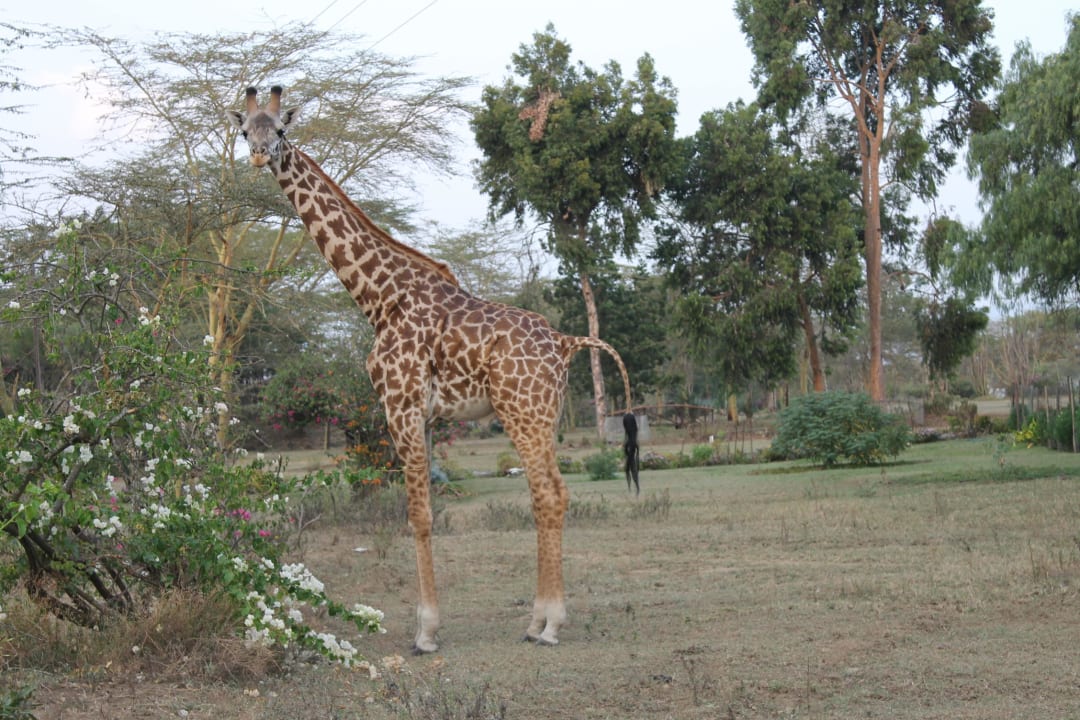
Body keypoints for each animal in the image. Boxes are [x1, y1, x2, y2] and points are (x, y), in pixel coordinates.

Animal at [228, 86, 640, 653]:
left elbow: (418, 515)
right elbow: (422, 511)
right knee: (545, 497)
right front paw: (430, 625)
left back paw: (552, 625)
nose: (259, 156)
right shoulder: (419, 414)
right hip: (545, 415)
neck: (379, 298)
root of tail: (564, 342)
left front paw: (425, 632)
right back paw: (535, 622)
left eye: (282, 130)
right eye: (245, 130)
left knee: (551, 495)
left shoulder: (399, 405)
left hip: (524, 413)